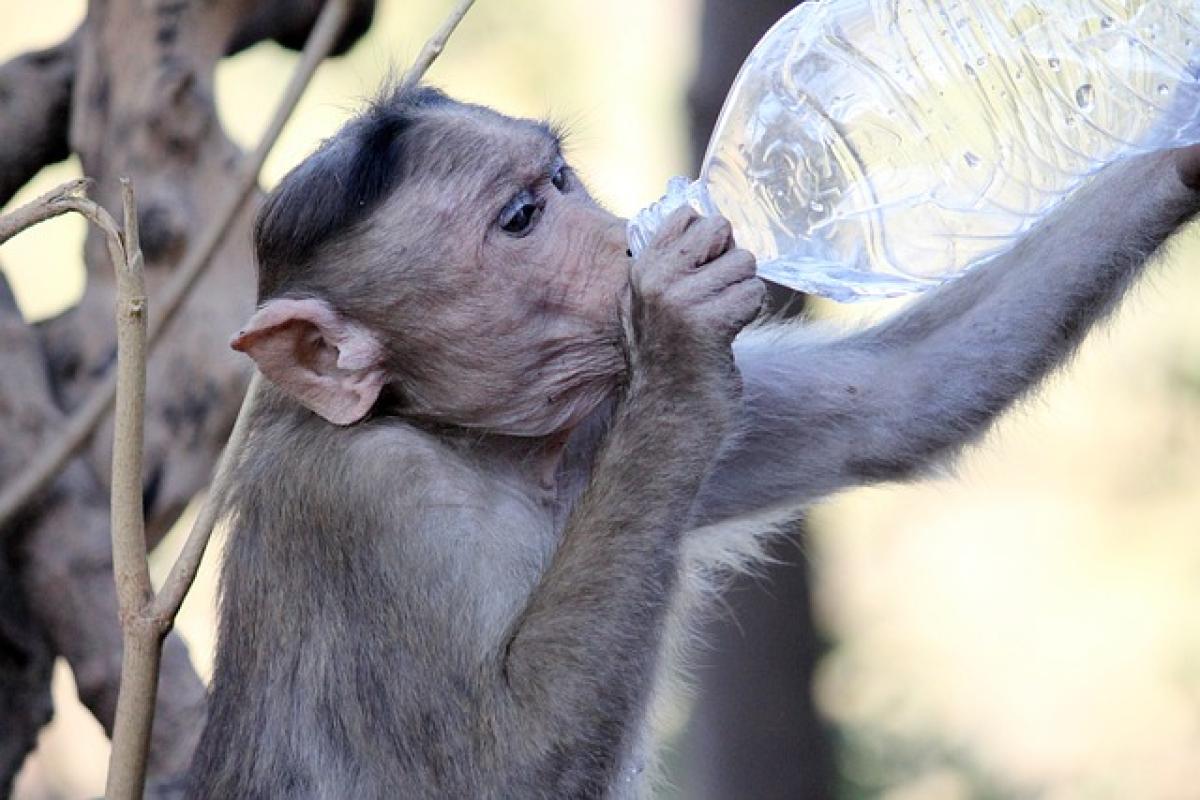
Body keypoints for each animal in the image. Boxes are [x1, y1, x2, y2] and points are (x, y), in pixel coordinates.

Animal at [182, 84, 1200, 796]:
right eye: (521, 218)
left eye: (559, 181)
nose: (616, 234)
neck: (468, 440)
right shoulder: (372, 494)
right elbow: (508, 767)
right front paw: (675, 340)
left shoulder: (598, 421)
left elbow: (898, 395)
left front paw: (1179, 149)